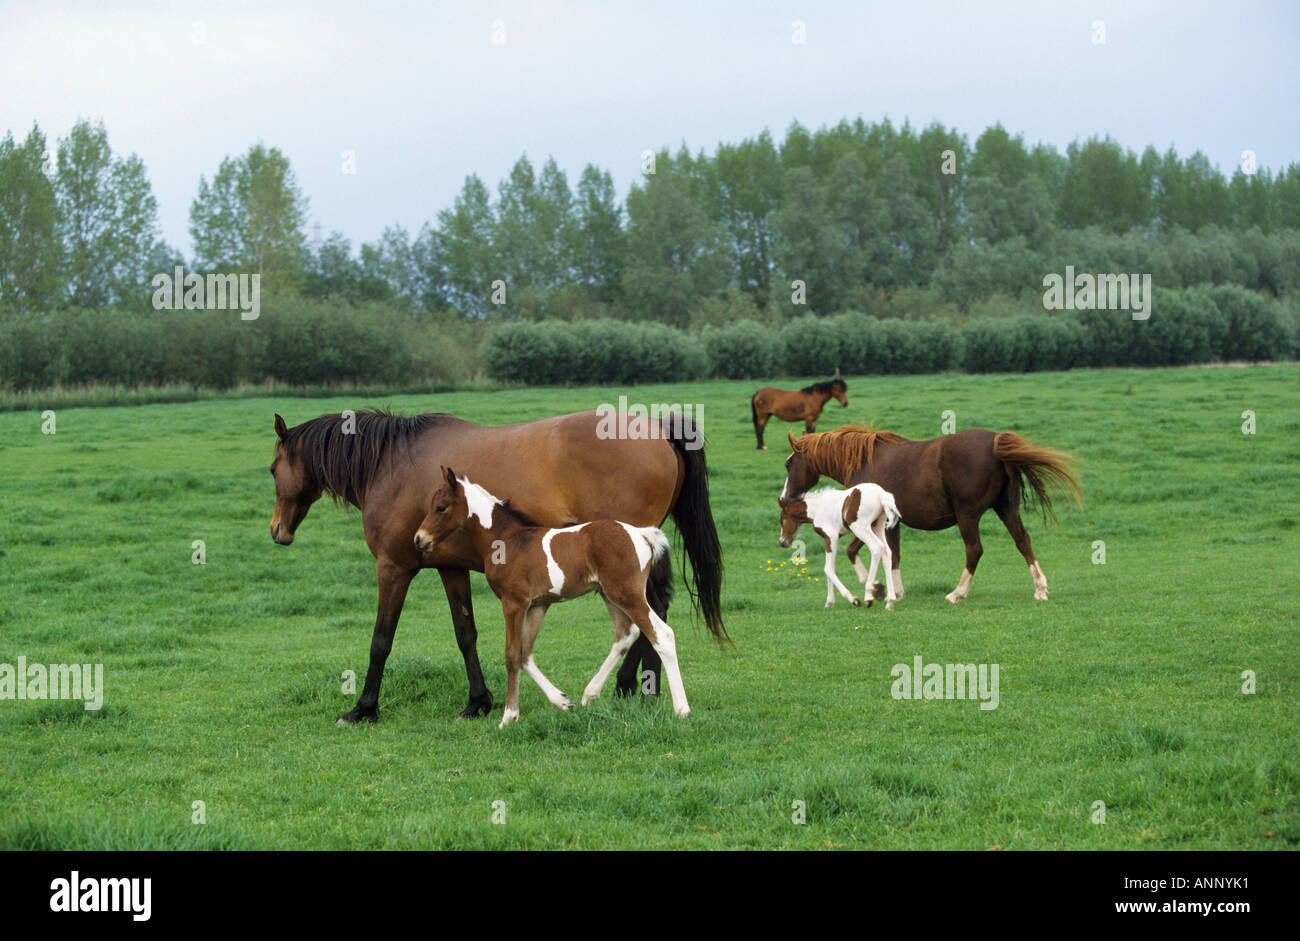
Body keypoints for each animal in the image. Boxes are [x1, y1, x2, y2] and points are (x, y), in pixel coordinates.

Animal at [413, 468, 691, 727]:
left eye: (441, 507)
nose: (419, 539)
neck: (508, 541)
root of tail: (641, 534)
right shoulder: (538, 605)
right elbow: (525, 653)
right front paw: (562, 701)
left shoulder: (513, 603)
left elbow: (511, 655)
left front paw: (509, 716)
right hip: (609, 594)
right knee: (625, 633)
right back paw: (589, 695)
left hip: (627, 593)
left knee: (662, 634)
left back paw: (682, 709)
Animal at [779, 425, 1081, 604]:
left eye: (789, 464)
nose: (785, 498)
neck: (863, 460)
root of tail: (995, 442)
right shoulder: (890, 524)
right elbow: (894, 554)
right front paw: (894, 589)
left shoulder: (865, 523)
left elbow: (856, 551)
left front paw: (875, 586)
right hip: (1006, 508)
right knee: (1023, 541)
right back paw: (1040, 589)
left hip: (968, 515)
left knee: (974, 550)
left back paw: (957, 593)